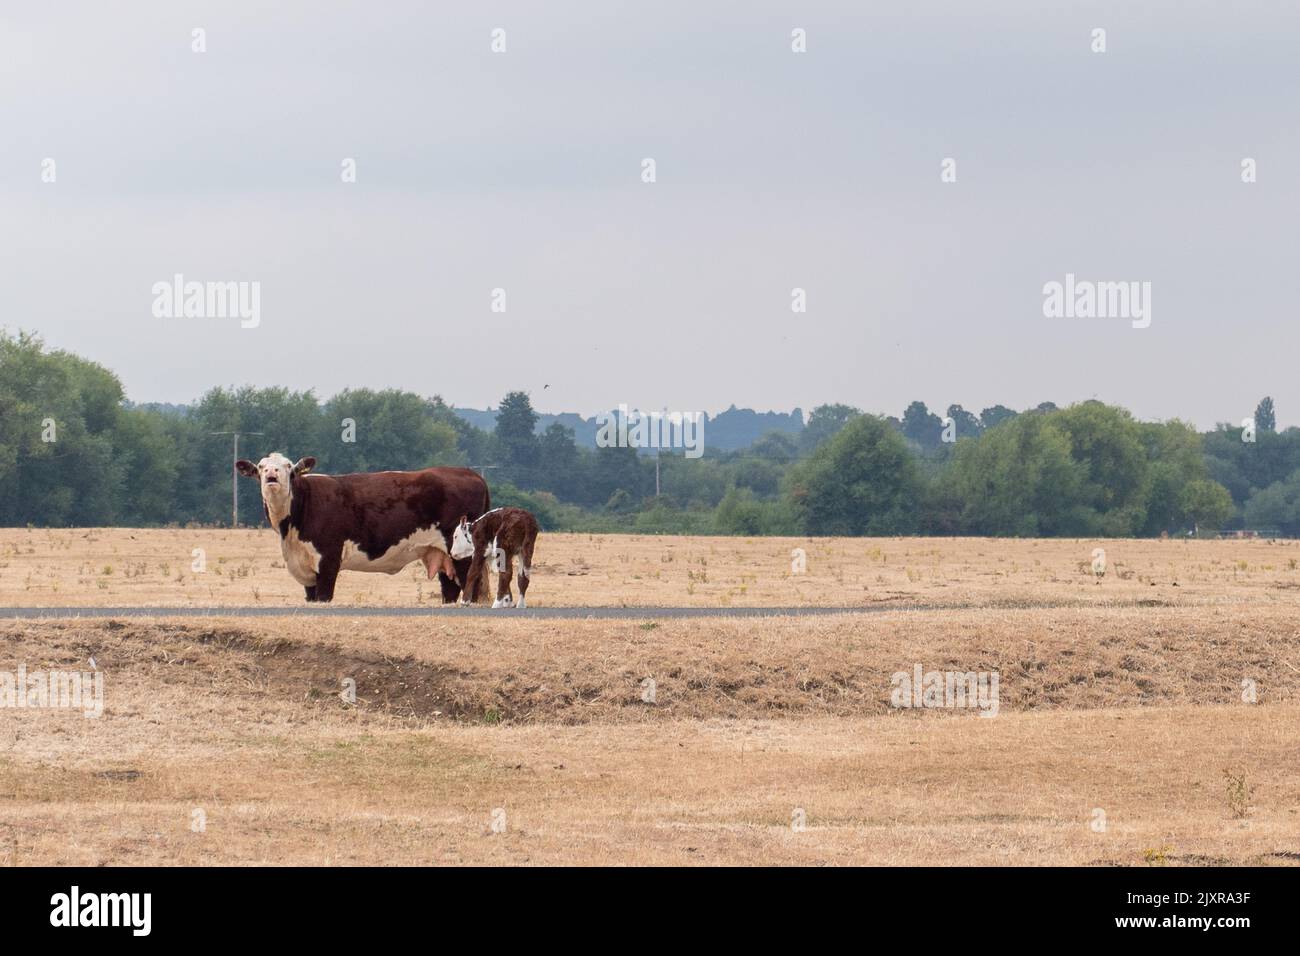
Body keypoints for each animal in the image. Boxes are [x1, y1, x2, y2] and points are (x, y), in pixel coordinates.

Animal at [234, 453, 490, 603]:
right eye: (261, 466)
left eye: (288, 466)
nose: (272, 474)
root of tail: (469, 472)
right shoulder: (306, 568)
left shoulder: (328, 559)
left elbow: (324, 597)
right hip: (443, 554)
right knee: (450, 589)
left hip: (463, 553)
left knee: (471, 586)